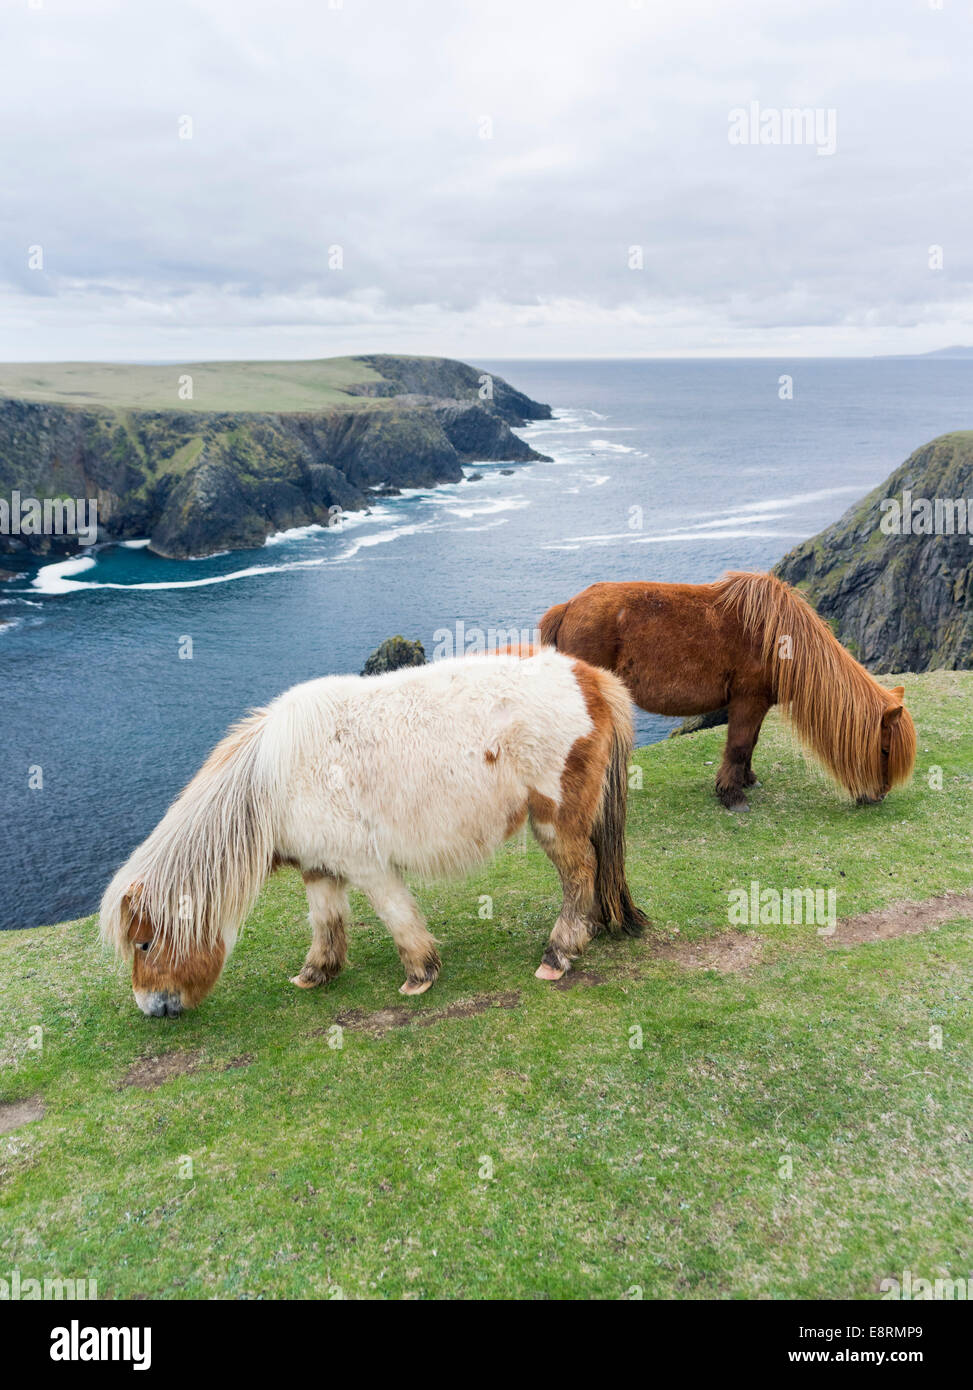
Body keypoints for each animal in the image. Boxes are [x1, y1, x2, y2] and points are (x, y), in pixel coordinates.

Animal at [100, 648, 648, 1017]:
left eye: (145, 944)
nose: (150, 1006)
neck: (273, 780)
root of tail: (591, 678)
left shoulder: (369, 866)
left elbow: (396, 917)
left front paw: (420, 975)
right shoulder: (318, 867)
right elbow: (326, 922)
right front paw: (316, 973)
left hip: (556, 821)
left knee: (580, 874)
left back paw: (560, 952)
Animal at [539, 571, 916, 812]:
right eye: (884, 750)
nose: (878, 797)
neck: (780, 638)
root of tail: (568, 607)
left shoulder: (758, 704)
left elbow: (750, 744)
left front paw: (746, 780)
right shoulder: (747, 701)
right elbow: (738, 745)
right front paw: (732, 796)